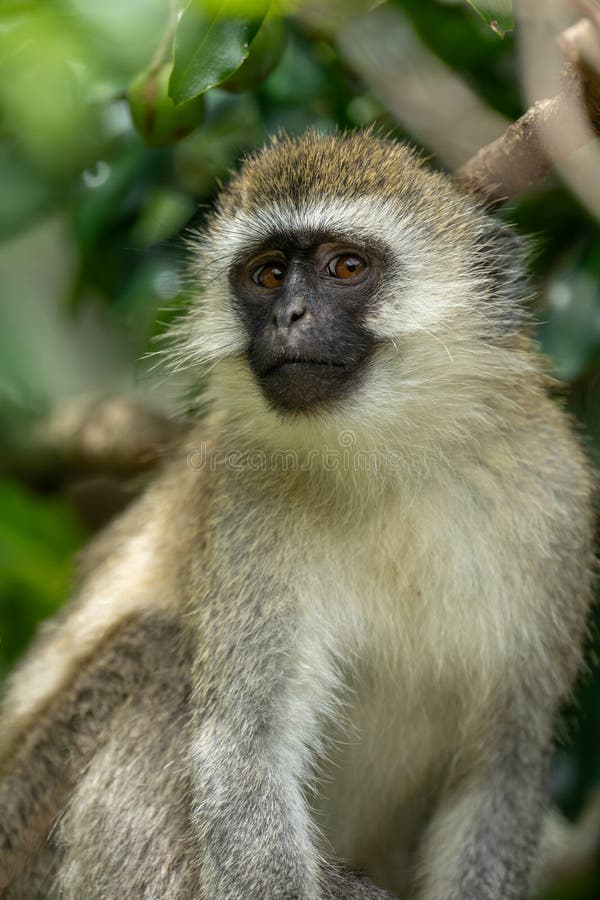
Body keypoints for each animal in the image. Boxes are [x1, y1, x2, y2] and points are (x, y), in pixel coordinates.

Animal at [0, 130, 595, 900]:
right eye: (266, 275)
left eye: (347, 267)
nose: (287, 318)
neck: (391, 459)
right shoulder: (247, 499)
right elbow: (245, 754)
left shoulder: (558, 503)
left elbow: (500, 772)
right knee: (159, 652)